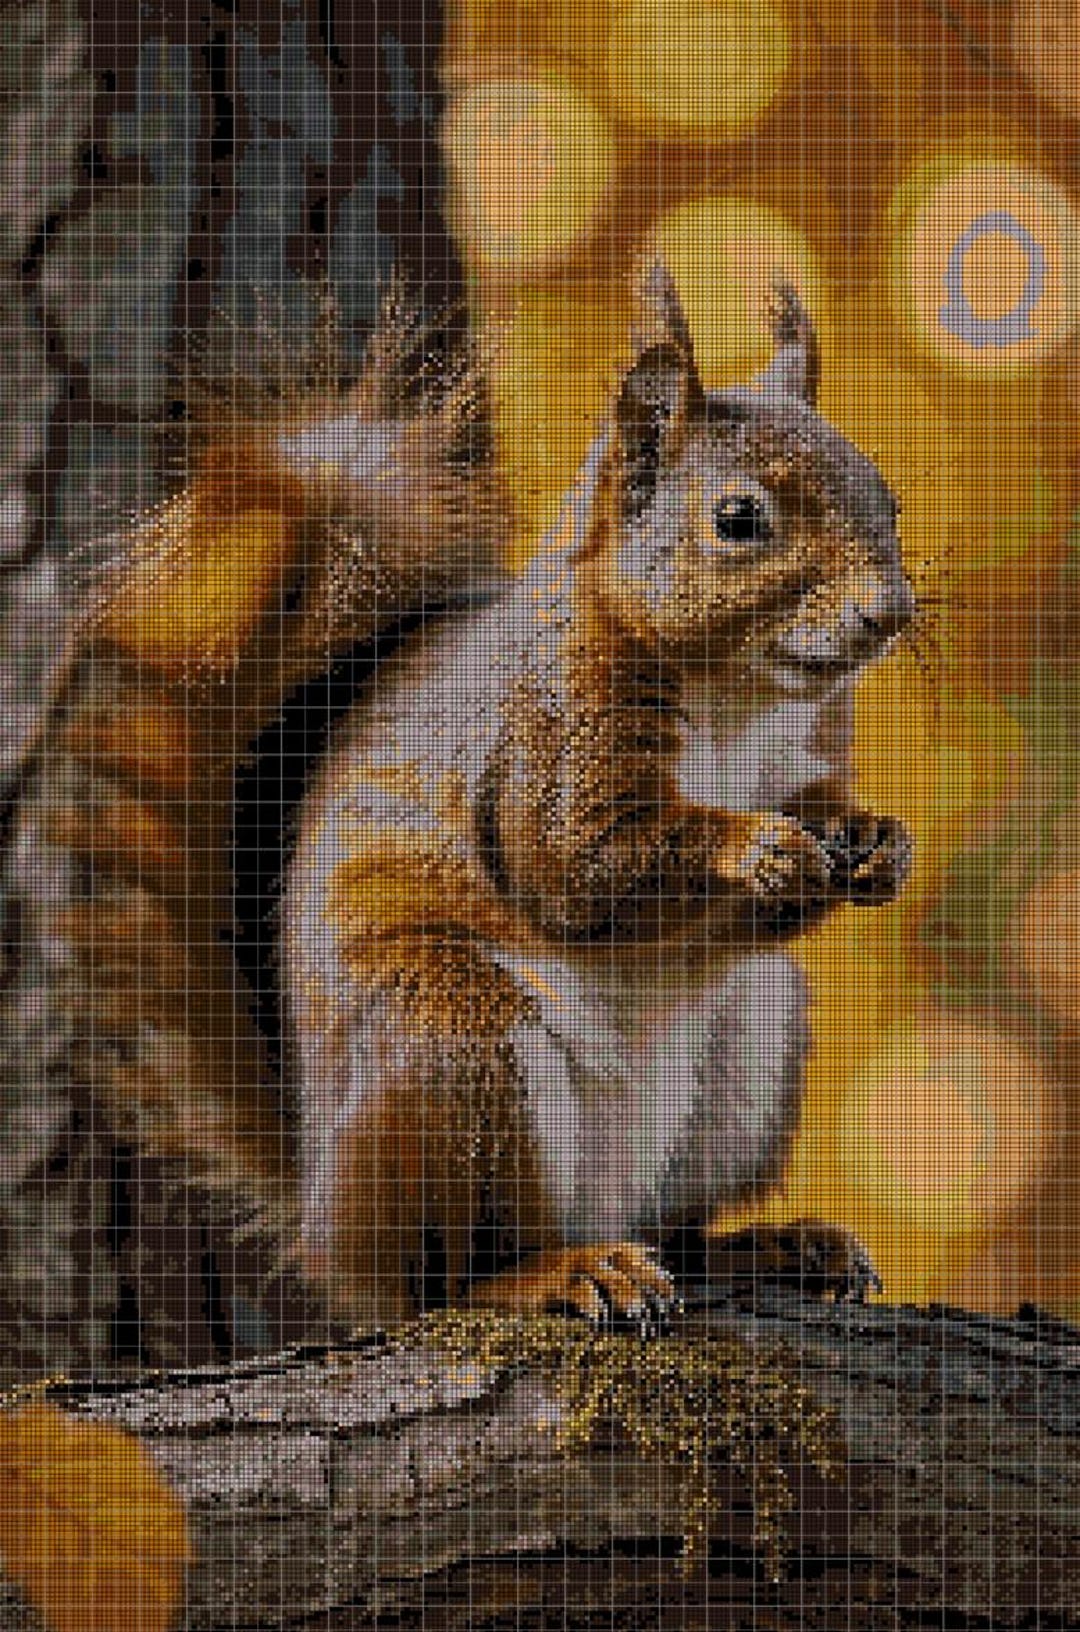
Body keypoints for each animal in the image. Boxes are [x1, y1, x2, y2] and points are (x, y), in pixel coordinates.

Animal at [8, 259, 915, 1334]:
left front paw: (871, 839)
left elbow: (806, 821)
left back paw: (765, 1246)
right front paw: (760, 849)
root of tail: (325, 1215)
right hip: (454, 1044)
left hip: (749, 1042)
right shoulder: (545, 737)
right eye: (738, 518)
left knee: (676, 1231)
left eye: (890, 501)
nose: (890, 613)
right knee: (445, 1279)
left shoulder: (803, 745)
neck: (739, 694)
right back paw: (555, 1272)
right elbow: (581, 867)